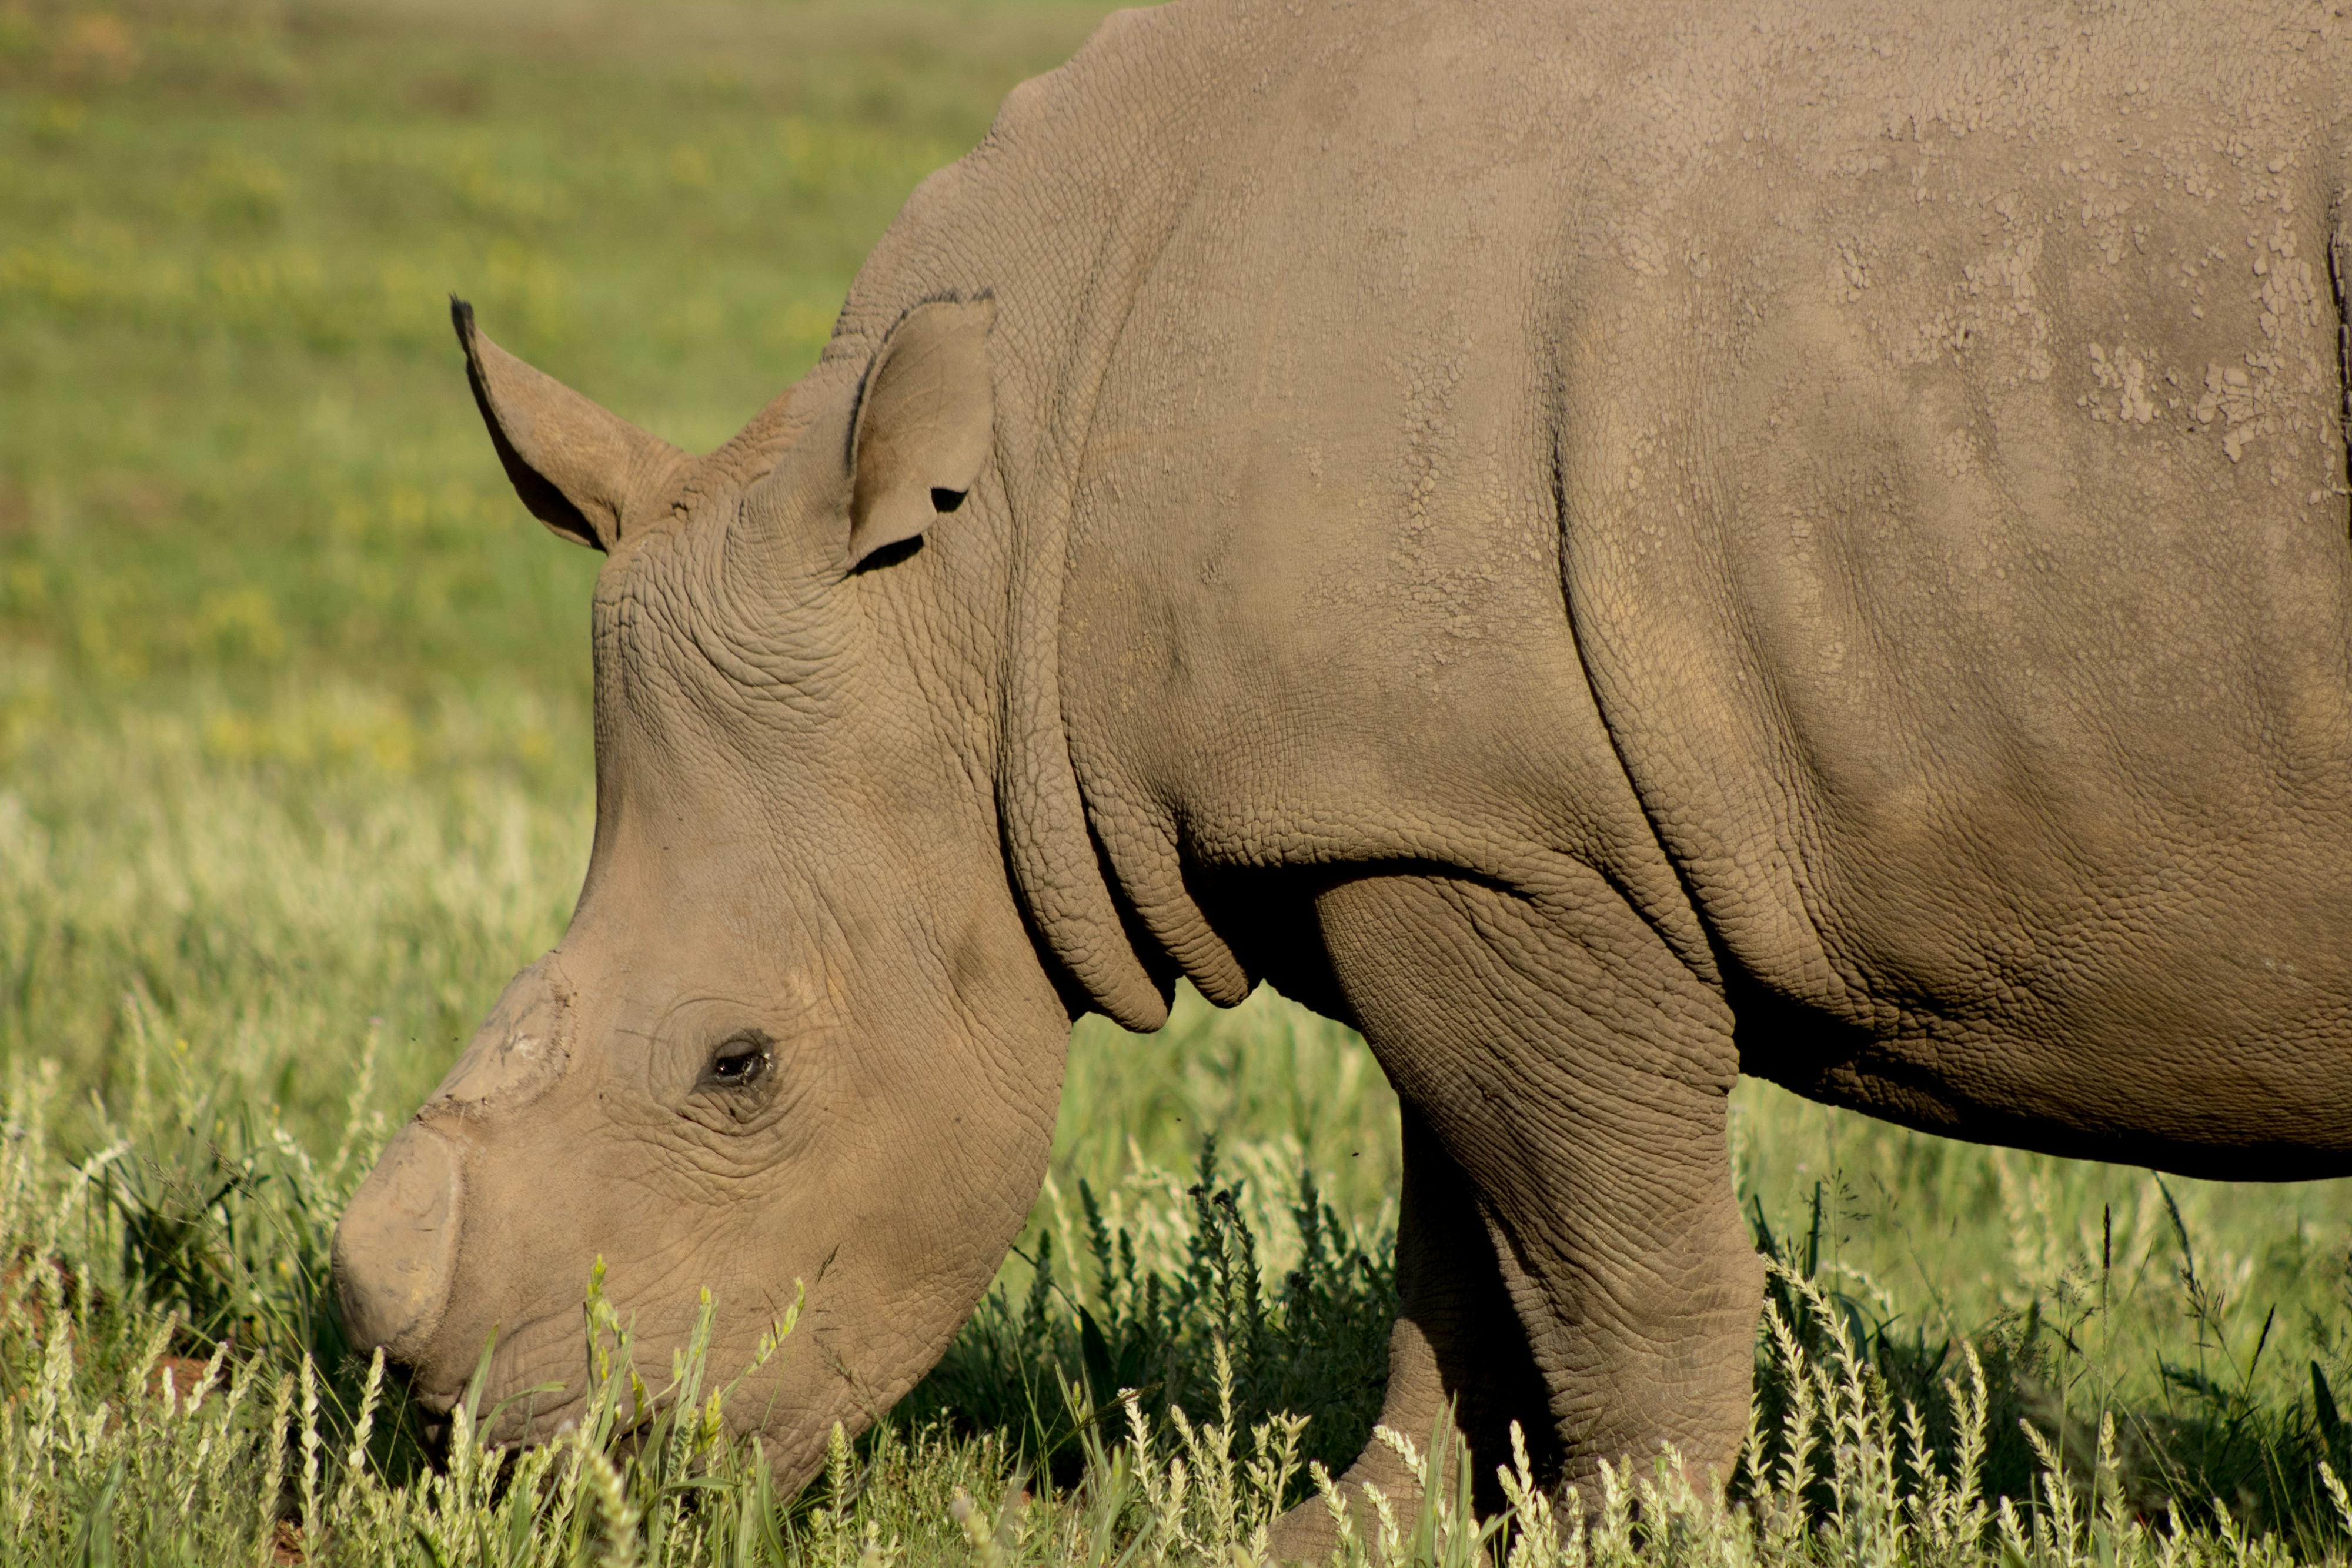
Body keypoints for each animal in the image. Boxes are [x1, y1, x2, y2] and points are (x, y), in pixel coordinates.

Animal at [333, 0, 2352, 1544]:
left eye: (739, 1068)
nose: (486, 1457)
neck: (984, 582)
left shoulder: (1480, 835)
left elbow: (1605, 1250)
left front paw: (1631, 1535)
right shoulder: (1434, 825)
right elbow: (1471, 1239)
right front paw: (1360, 1531)